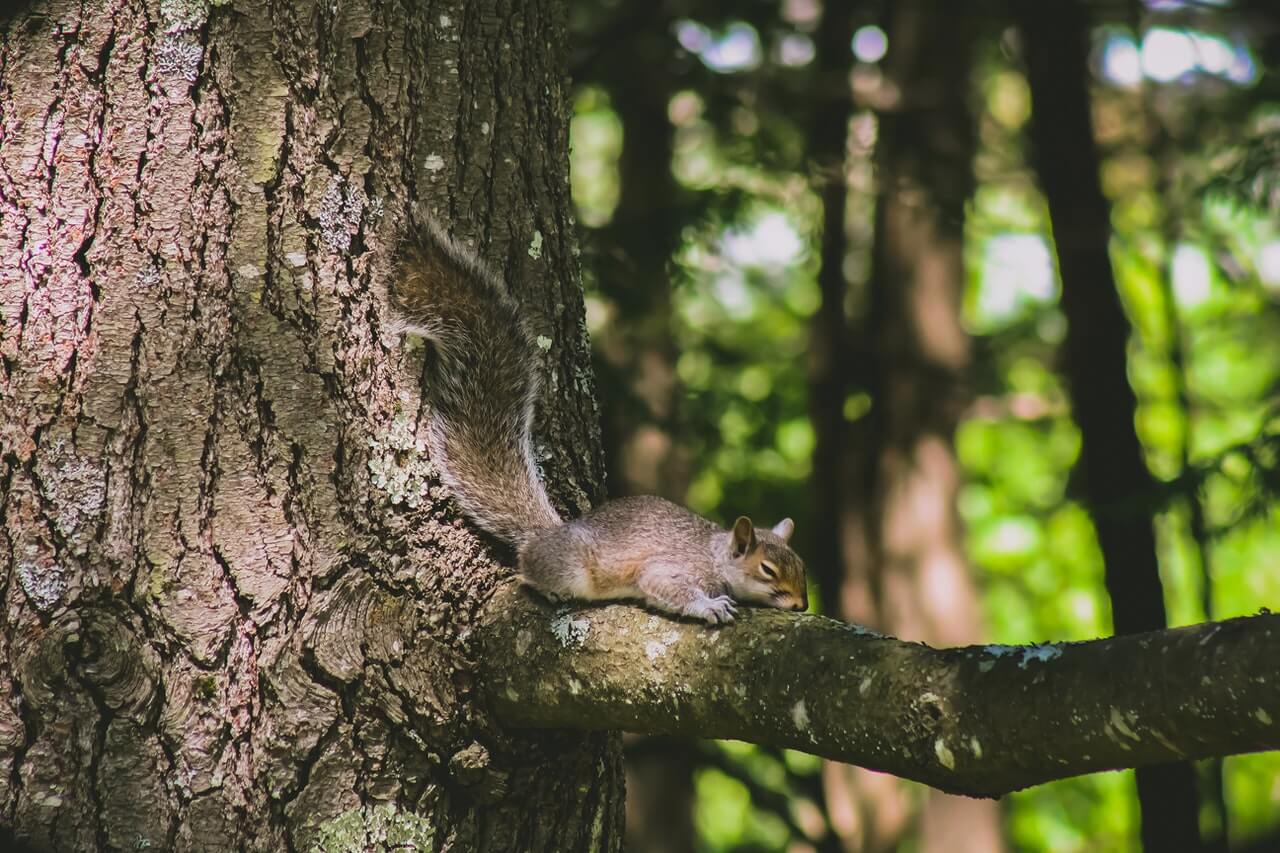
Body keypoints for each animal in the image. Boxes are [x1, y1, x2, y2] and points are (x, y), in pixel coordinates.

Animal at [387, 222, 808, 624]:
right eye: (768, 570)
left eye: (801, 566)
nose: (802, 604)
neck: (715, 556)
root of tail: (543, 536)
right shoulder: (671, 568)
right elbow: (668, 587)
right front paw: (709, 606)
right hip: (570, 568)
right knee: (525, 572)